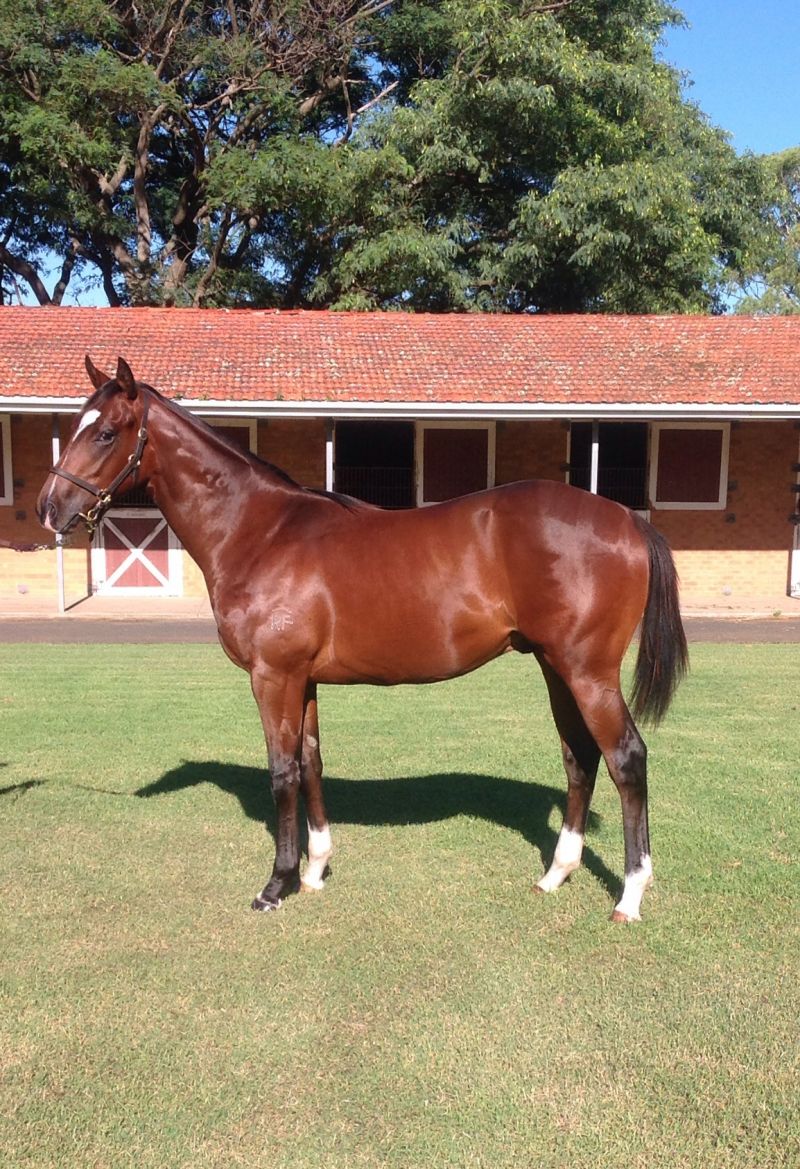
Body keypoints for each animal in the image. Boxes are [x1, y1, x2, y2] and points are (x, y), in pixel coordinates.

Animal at [37, 356, 688, 922]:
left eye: (107, 433)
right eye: (77, 425)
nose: (50, 508)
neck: (261, 532)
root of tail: (627, 519)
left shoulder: (273, 676)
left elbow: (282, 771)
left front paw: (276, 885)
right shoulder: (302, 680)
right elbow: (311, 761)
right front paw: (314, 870)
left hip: (587, 672)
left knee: (625, 757)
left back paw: (629, 896)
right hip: (556, 667)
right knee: (580, 756)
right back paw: (556, 873)